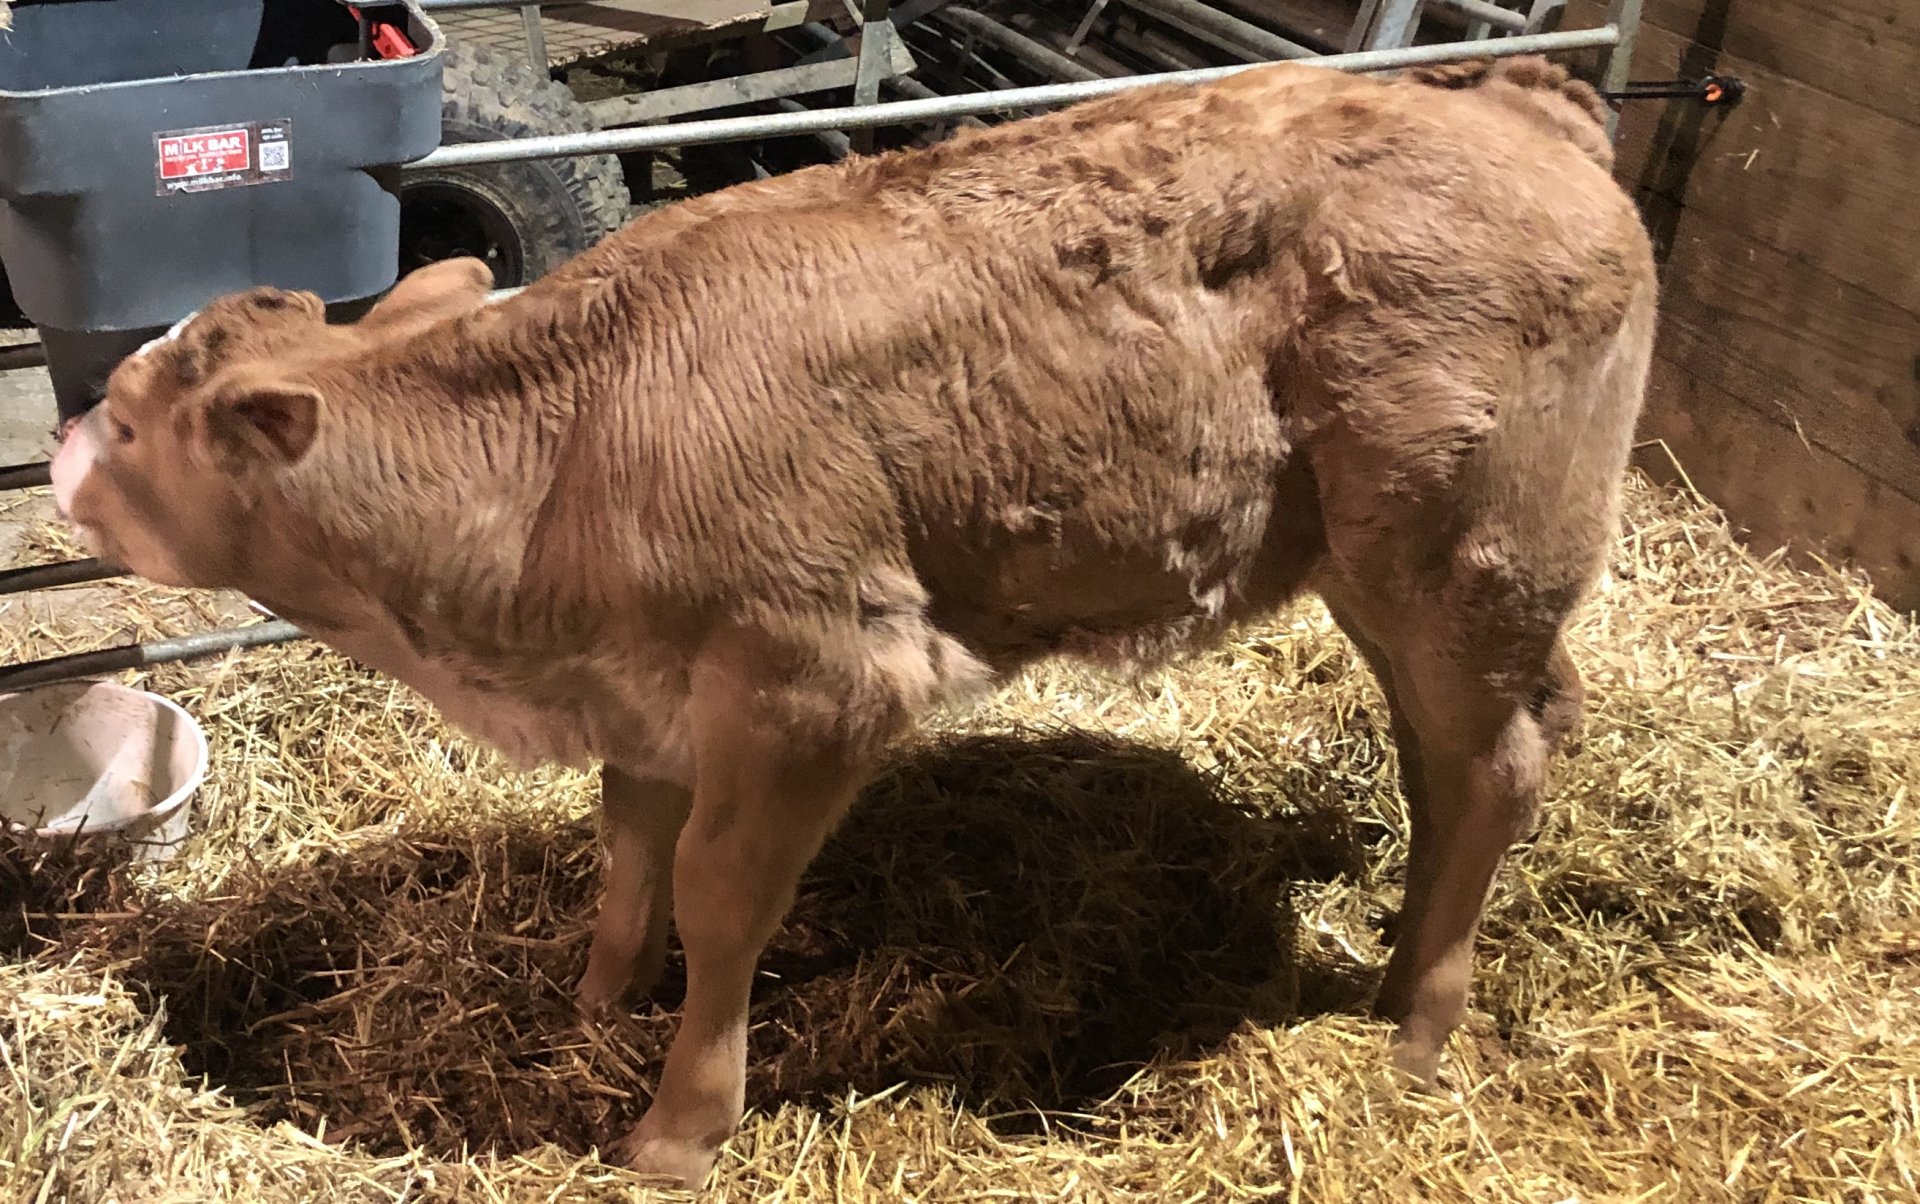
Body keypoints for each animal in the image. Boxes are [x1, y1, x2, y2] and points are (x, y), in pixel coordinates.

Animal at [50, 55, 1655, 1187]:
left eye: (128, 419)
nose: (59, 447)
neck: (573, 444)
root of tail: (1524, 105)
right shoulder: (650, 687)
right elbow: (630, 846)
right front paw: (596, 996)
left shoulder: (813, 680)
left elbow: (719, 891)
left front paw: (676, 1128)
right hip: (1387, 572)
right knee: (1453, 758)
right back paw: (1396, 957)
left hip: (1464, 554)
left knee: (1499, 763)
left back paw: (1416, 1027)